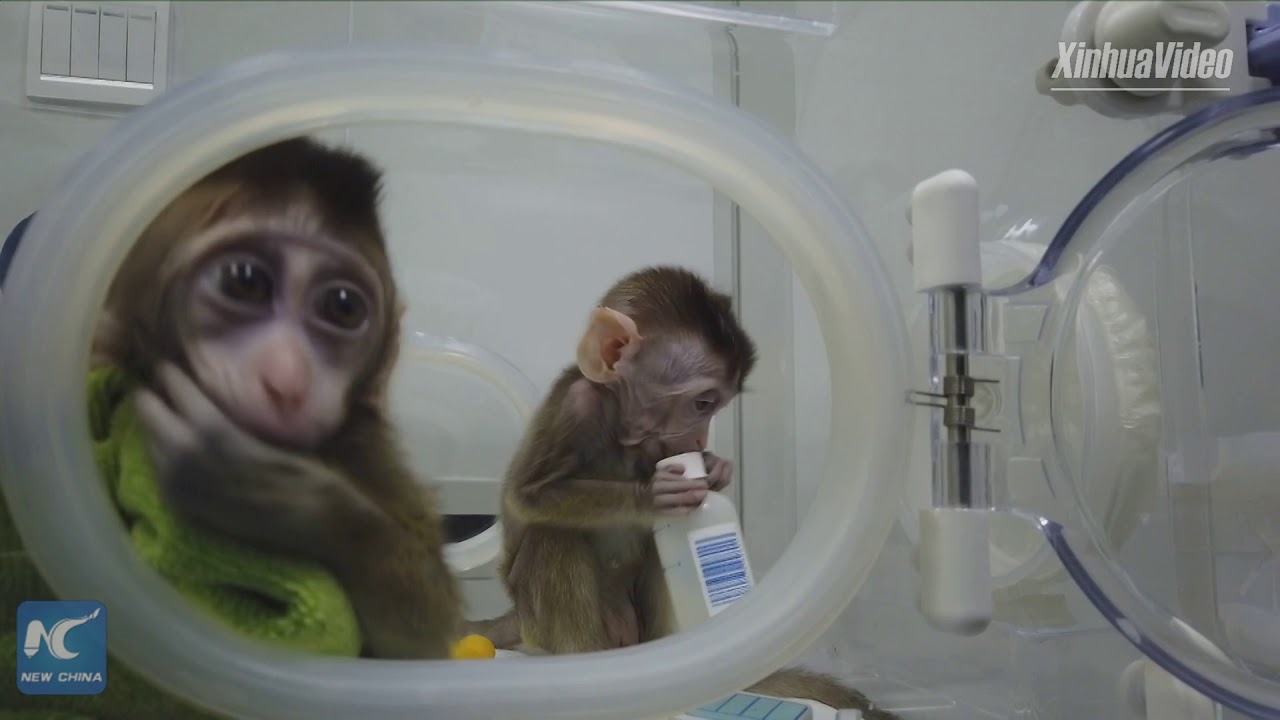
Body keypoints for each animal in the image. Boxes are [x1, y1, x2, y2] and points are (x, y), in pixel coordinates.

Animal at [90, 137, 463, 660]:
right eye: (244, 280)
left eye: (342, 307)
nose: (287, 379)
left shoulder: (365, 444)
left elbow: (426, 633)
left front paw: (264, 488)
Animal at [477, 265, 899, 719]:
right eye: (702, 404)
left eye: (716, 407)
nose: (699, 440)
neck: (620, 424)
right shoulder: (577, 405)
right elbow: (527, 496)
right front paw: (651, 495)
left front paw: (714, 469)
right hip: (541, 624)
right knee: (552, 536)